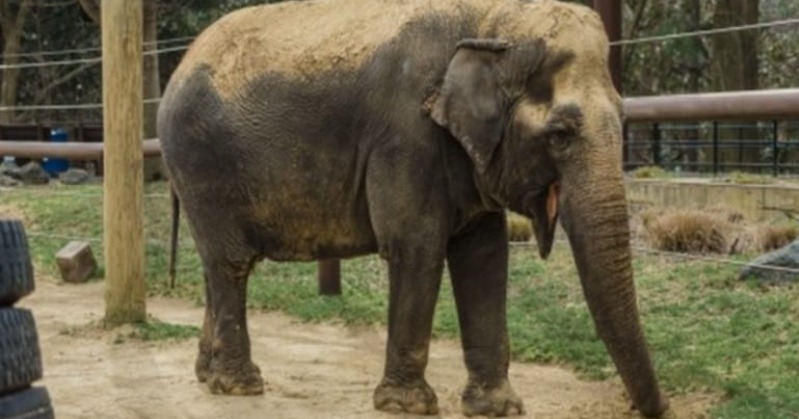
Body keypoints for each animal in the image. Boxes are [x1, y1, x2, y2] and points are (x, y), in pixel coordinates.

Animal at [157, 0, 669, 417]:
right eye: (560, 135)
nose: (658, 407)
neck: (490, 20)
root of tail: (179, 66)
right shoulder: (406, 135)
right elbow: (416, 247)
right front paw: (407, 406)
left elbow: (485, 257)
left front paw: (498, 409)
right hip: (202, 164)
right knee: (232, 264)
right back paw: (239, 387)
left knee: (216, 266)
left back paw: (207, 375)